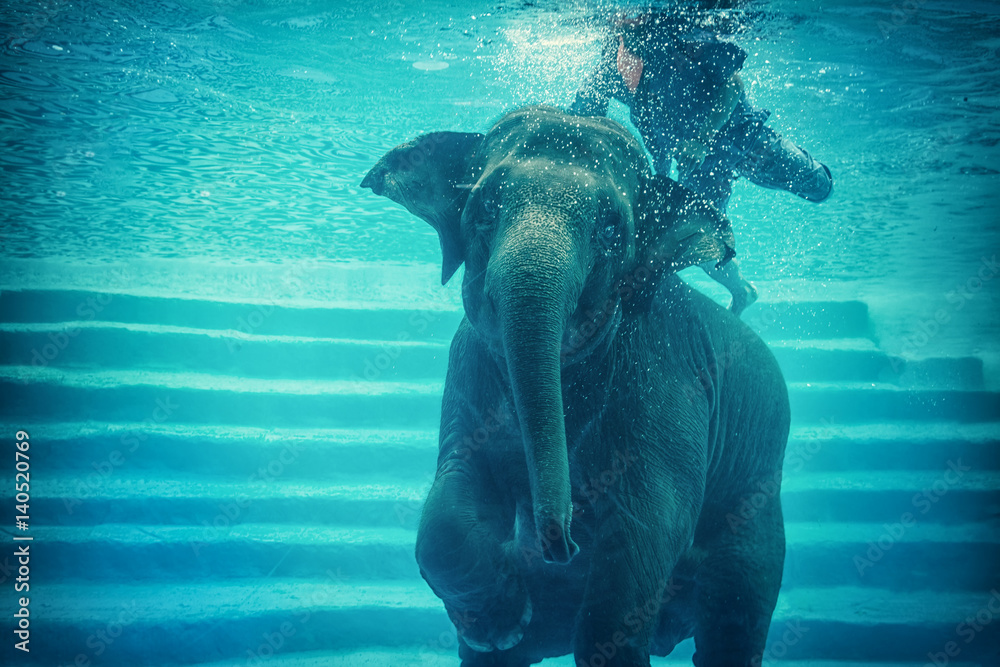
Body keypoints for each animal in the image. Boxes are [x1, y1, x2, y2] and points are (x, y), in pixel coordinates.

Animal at [361, 106, 790, 667]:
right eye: (484, 209)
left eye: (610, 228)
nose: (562, 546)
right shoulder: (466, 377)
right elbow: (449, 503)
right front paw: (499, 625)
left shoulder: (666, 389)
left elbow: (651, 522)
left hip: (755, 508)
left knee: (734, 618)